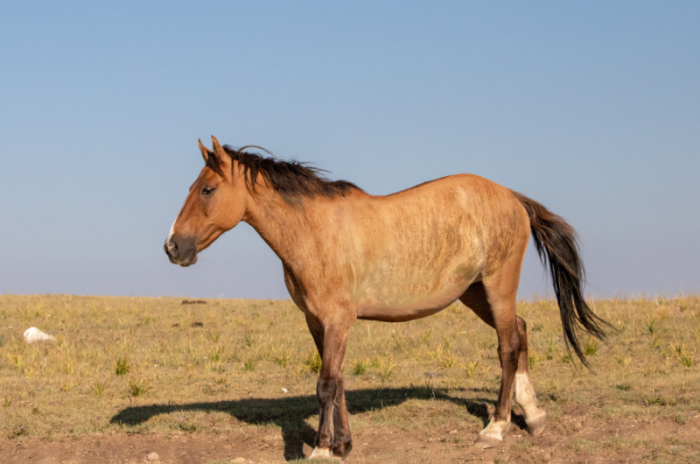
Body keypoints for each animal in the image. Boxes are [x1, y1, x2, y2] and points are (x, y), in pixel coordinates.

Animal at [164, 136, 610, 460]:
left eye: (207, 189)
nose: (172, 247)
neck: (313, 232)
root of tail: (512, 196)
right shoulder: (318, 322)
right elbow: (338, 381)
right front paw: (343, 445)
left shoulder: (337, 320)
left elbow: (326, 384)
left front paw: (322, 450)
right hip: (475, 293)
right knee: (520, 332)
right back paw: (533, 416)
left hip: (498, 286)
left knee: (507, 346)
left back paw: (497, 427)